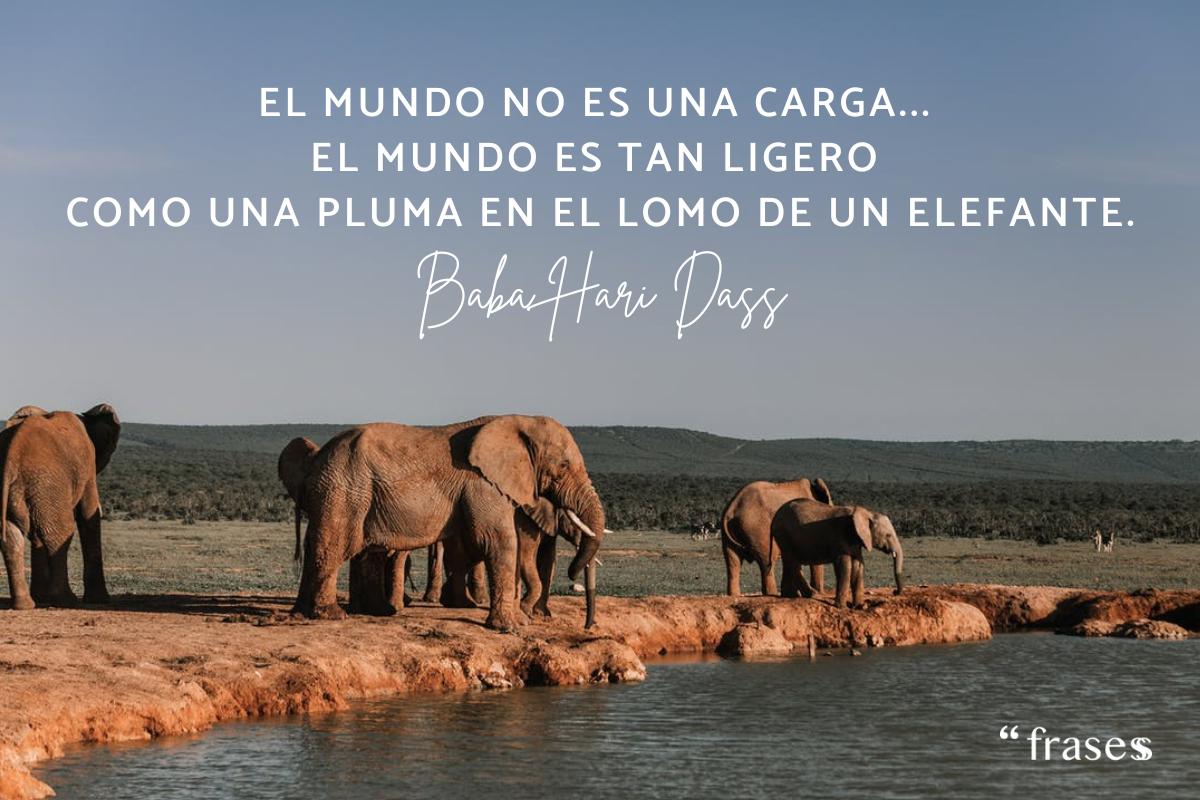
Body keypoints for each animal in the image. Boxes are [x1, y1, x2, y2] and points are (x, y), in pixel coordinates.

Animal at [0, 404, 121, 609]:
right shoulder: (88, 465)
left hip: (31, 488)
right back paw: (66, 600)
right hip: (47, 485)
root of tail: (11, 457)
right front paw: (100, 600)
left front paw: (41, 597)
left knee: (12, 537)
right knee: (60, 534)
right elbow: (89, 515)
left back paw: (25, 605)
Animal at [277, 415, 605, 630]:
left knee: (348, 547)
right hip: (345, 488)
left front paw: (520, 622)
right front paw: (510, 628)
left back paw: (343, 613)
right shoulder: (482, 483)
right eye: (563, 466)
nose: (589, 627)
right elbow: (499, 540)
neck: (517, 420)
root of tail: (316, 457)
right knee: (336, 544)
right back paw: (331, 615)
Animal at [770, 498, 905, 608]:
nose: (895, 592)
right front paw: (842, 607)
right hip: (784, 534)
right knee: (793, 562)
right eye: (888, 535)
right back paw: (814, 595)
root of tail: (774, 519)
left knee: (789, 562)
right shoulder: (840, 537)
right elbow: (845, 567)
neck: (866, 513)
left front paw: (860, 607)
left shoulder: (857, 541)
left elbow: (858, 566)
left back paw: (790, 596)